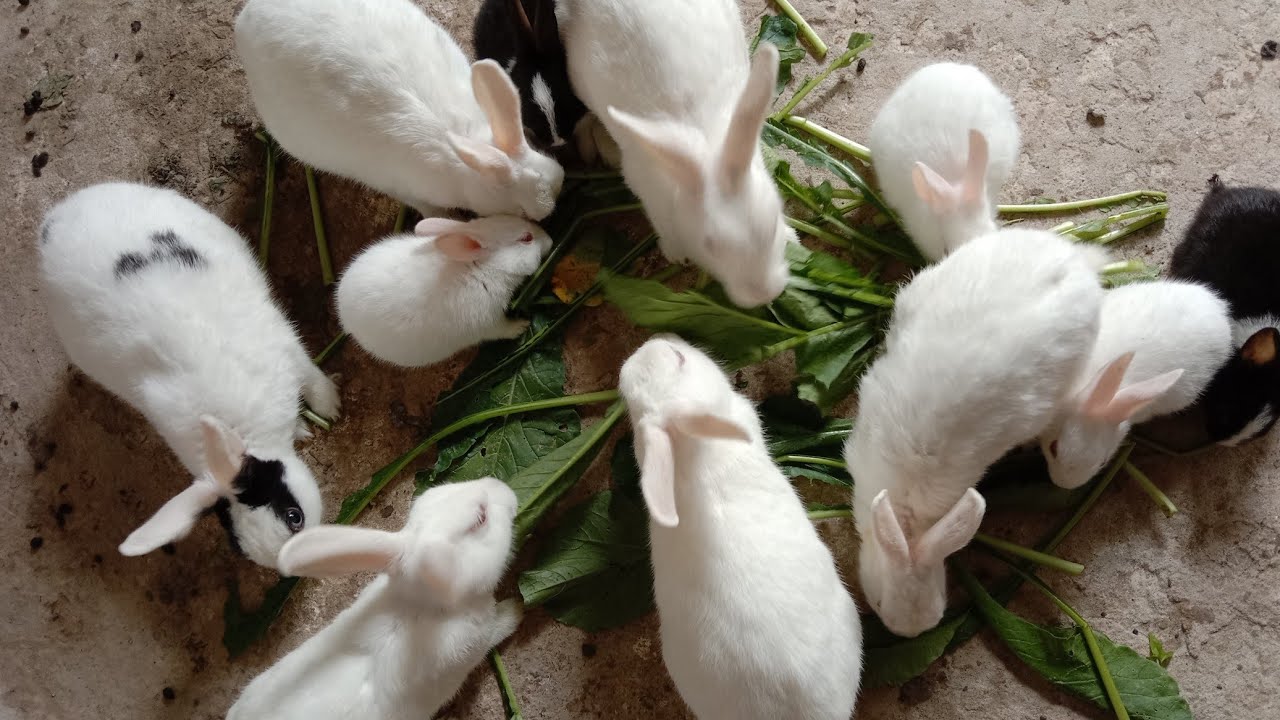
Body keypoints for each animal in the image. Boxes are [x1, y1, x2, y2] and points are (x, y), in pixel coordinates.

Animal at [38, 182, 339, 569]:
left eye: (293, 516)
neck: (248, 435)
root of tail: (58, 216)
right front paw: (305, 427)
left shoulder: (284, 347)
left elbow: (310, 375)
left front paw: (331, 407)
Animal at [227, 477, 521, 720]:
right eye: (481, 518)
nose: (501, 486)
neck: (417, 605)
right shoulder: (474, 644)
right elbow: (498, 629)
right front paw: (516, 610)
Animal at [234, 0, 564, 220]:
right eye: (519, 211)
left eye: (532, 143)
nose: (555, 196)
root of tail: (247, 16)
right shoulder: (405, 190)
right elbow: (430, 210)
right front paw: (450, 221)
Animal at [335, 216, 552, 367]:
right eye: (527, 238)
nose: (550, 240)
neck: (481, 268)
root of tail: (342, 311)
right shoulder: (491, 322)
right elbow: (504, 330)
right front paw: (522, 326)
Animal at [556, 0, 794, 308]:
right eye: (710, 245)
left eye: (773, 224)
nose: (763, 294)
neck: (710, 143)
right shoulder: (648, 190)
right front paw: (676, 255)